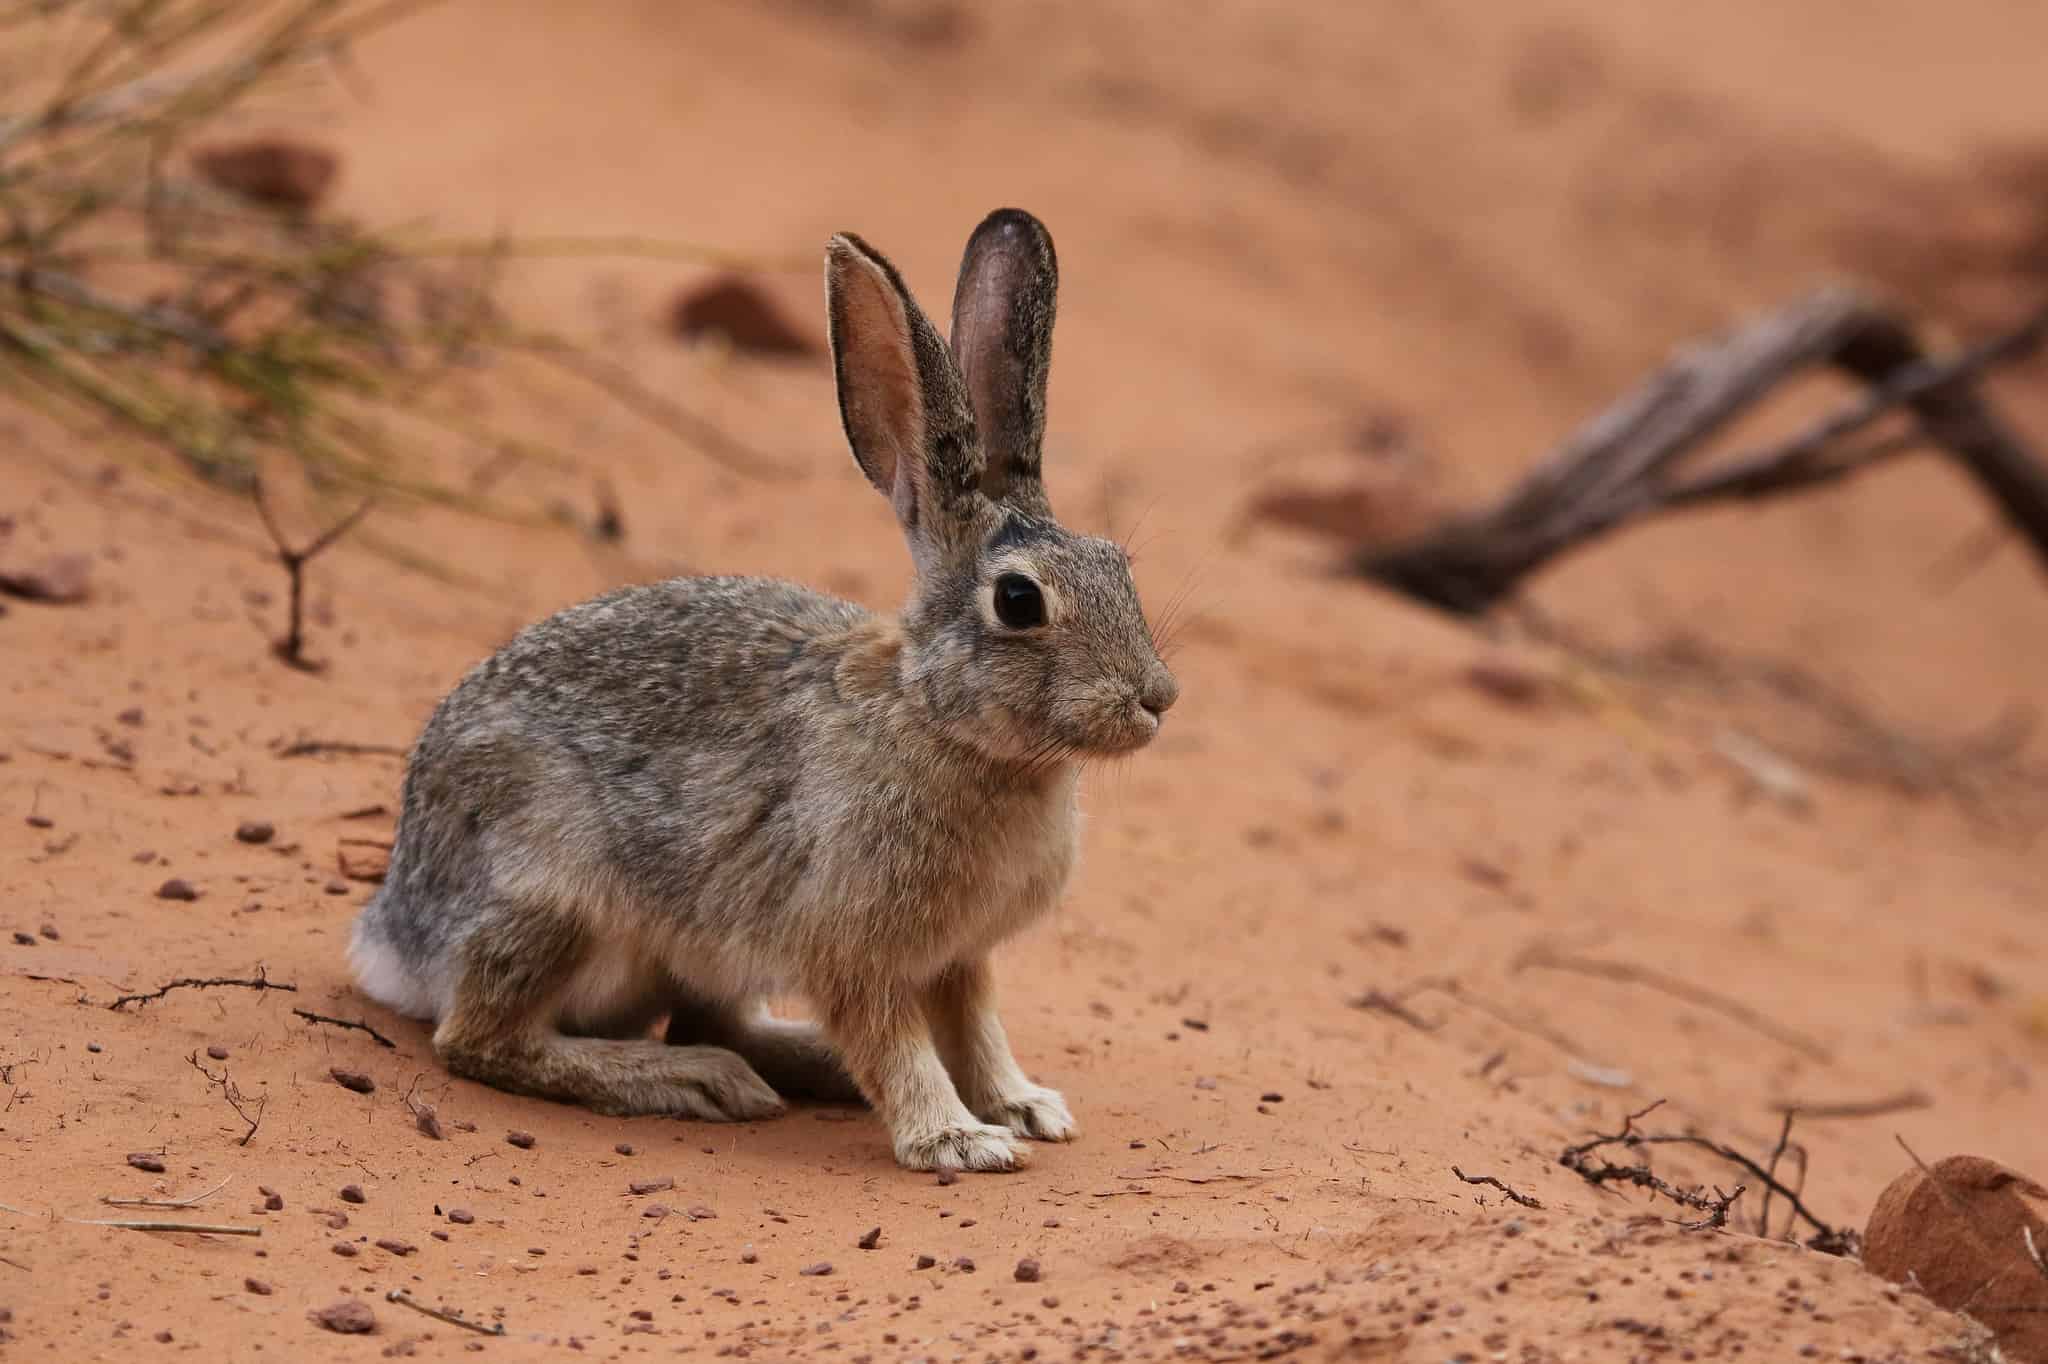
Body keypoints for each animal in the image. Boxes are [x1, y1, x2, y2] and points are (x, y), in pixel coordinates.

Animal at [347, 208, 1180, 1173]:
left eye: (1117, 565)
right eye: (1018, 601)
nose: (1157, 698)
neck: (936, 719)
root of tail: (393, 937)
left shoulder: (959, 957)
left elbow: (977, 1030)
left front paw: (1024, 1106)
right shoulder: (851, 946)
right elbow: (896, 1045)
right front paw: (957, 1141)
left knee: (710, 1021)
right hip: (558, 895)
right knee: (484, 1039)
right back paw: (696, 1083)